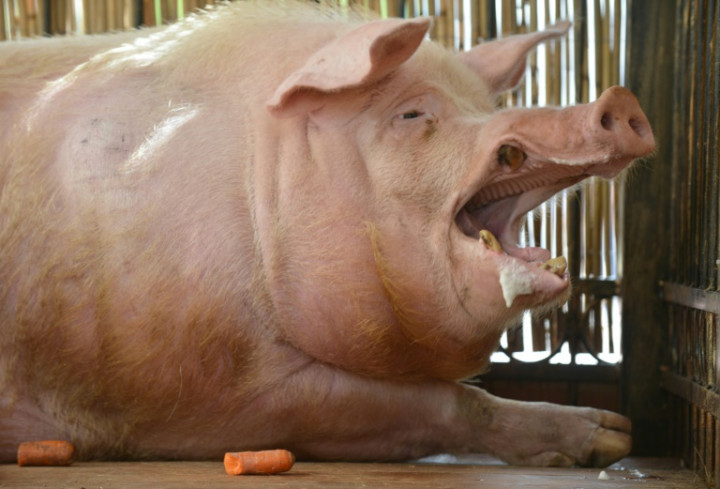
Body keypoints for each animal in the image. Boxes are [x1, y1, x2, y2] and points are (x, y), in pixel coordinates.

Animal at [0, 2, 654, 466]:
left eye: (483, 106)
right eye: (412, 115)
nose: (618, 98)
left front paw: (614, 439)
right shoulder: (190, 394)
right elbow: (444, 400)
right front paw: (614, 439)